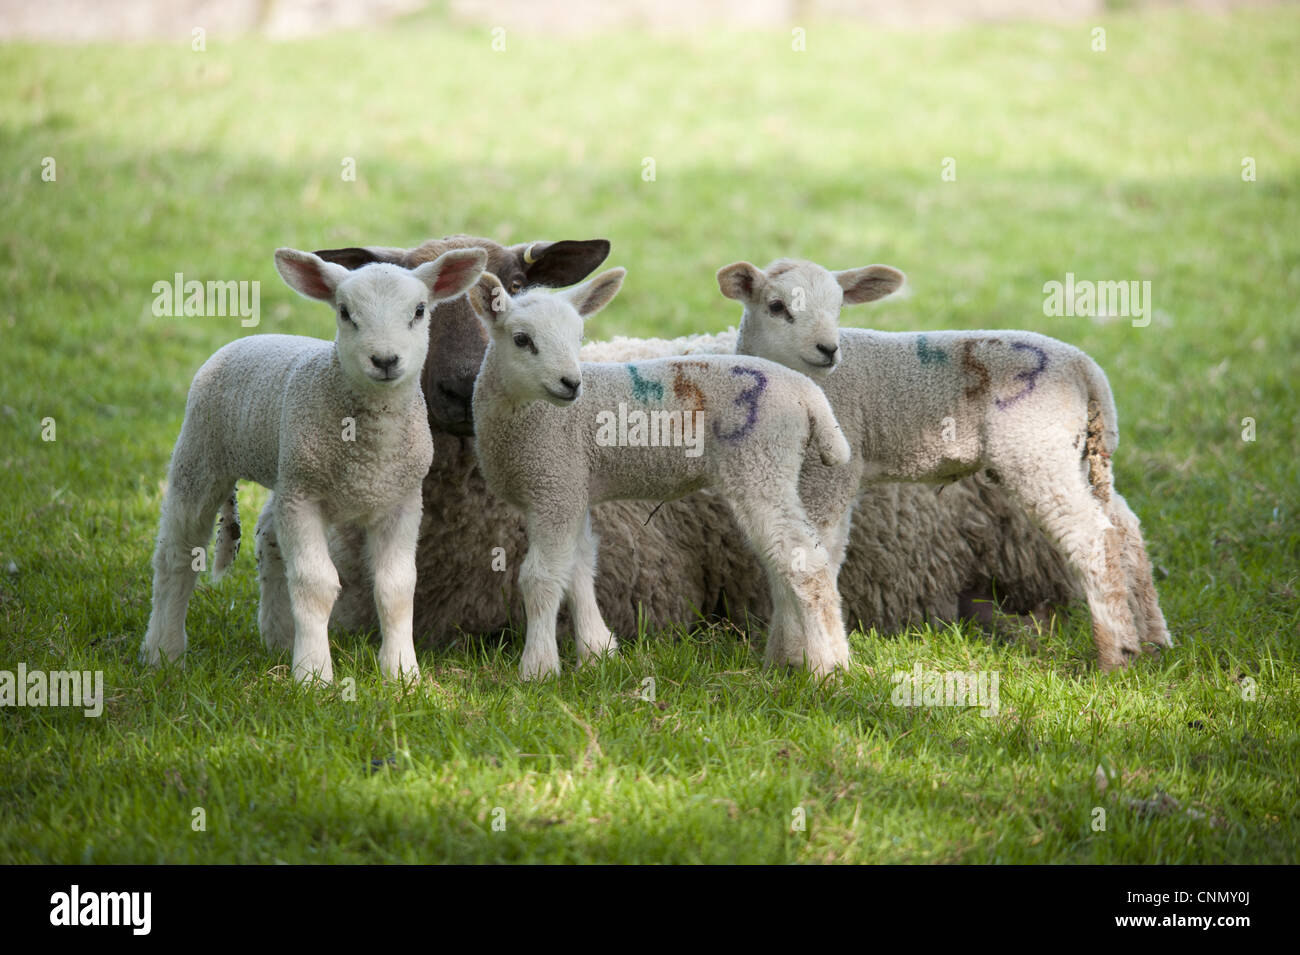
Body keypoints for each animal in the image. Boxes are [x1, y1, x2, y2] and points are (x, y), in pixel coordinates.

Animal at [139, 245, 487, 683]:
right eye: (345, 312)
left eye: (420, 310)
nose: (385, 359)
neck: (370, 451)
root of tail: (256, 336)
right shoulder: (303, 497)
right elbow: (315, 583)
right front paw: (313, 674)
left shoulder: (402, 500)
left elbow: (396, 587)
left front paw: (402, 673)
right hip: (203, 454)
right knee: (177, 553)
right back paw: (163, 651)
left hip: (282, 470)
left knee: (268, 537)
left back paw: (277, 638)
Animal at [466, 267, 857, 679]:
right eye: (521, 340)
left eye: (579, 337)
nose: (571, 383)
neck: (527, 419)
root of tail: (809, 395)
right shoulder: (570, 486)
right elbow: (579, 567)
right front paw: (597, 652)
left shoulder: (552, 485)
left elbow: (539, 577)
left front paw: (538, 668)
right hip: (771, 467)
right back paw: (820, 656)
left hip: (760, 464)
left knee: (806, 563)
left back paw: (824, 665)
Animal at [718, 257, 1172, 670]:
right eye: (777, 306)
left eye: (838, 306)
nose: (828, 349)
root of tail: (1085, 368)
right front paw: (783, 659)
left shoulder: (833, 471)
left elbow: (813, 556)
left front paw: (801, 659)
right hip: (1077, 452)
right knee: (1125, 526)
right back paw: (1154, 640)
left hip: (1036, 448)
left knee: (1094, 537)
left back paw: (1116, 656)